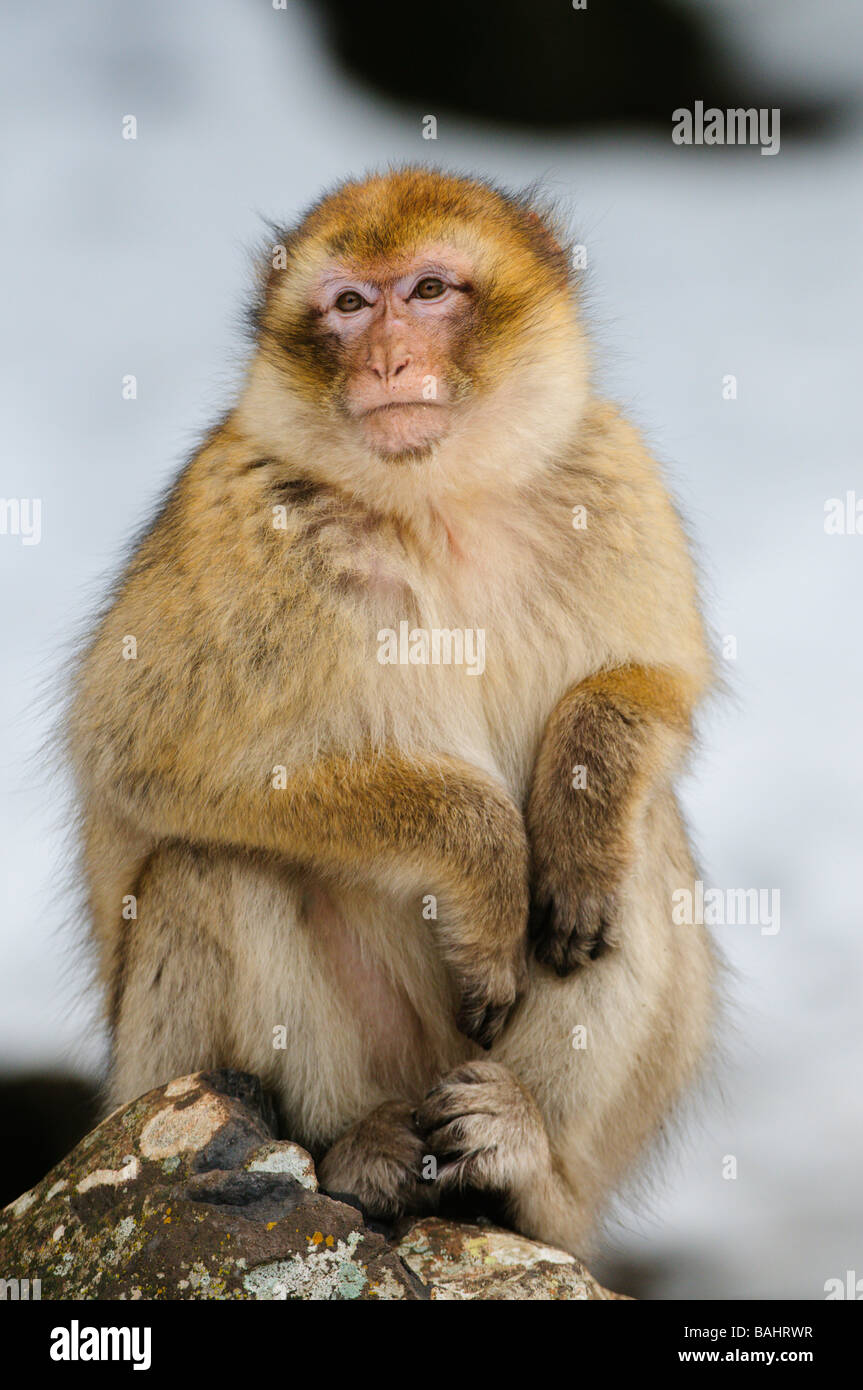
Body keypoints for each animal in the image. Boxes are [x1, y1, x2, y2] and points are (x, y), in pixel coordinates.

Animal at [66, 167, 717, 1257]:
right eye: (346, 303)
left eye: (427, 290)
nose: (386, 359)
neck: (437, 504)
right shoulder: (235, 518)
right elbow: (143, 757)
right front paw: (486, 858)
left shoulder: (613, 471)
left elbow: (652, 685)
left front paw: (575, 811)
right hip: (177, 1075)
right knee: (213, 864)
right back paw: (353, 1152)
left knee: (640, 850)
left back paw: (522, 1162)